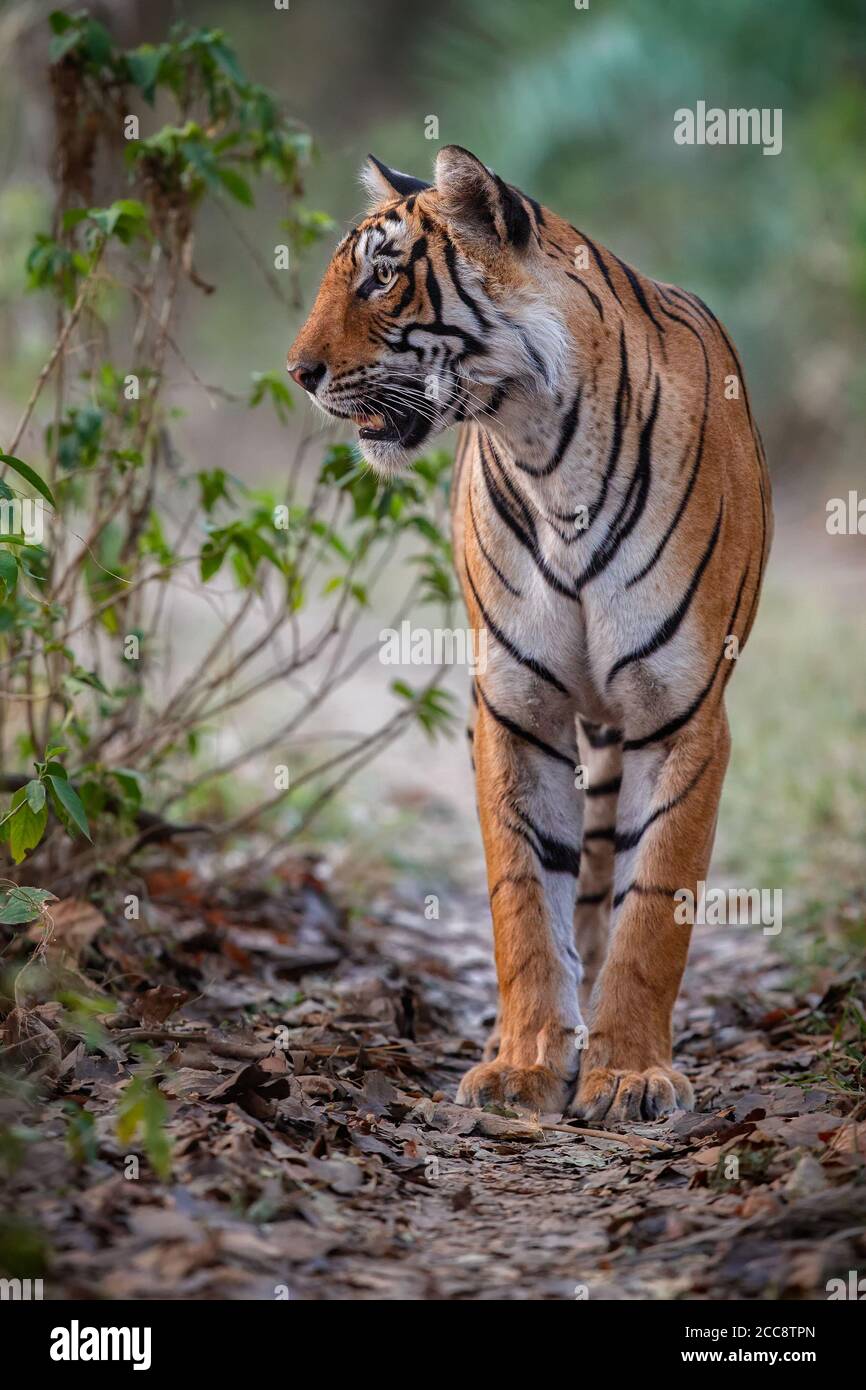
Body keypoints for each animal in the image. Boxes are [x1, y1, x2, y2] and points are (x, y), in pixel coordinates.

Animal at [287, 145, 772, 1124]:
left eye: (383, 276)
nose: (297, 372)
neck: (546, 451)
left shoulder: (683, 713)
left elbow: (653, 905)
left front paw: (630, 1073)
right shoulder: (513, 707)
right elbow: (523, 898)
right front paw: (523, 1065)